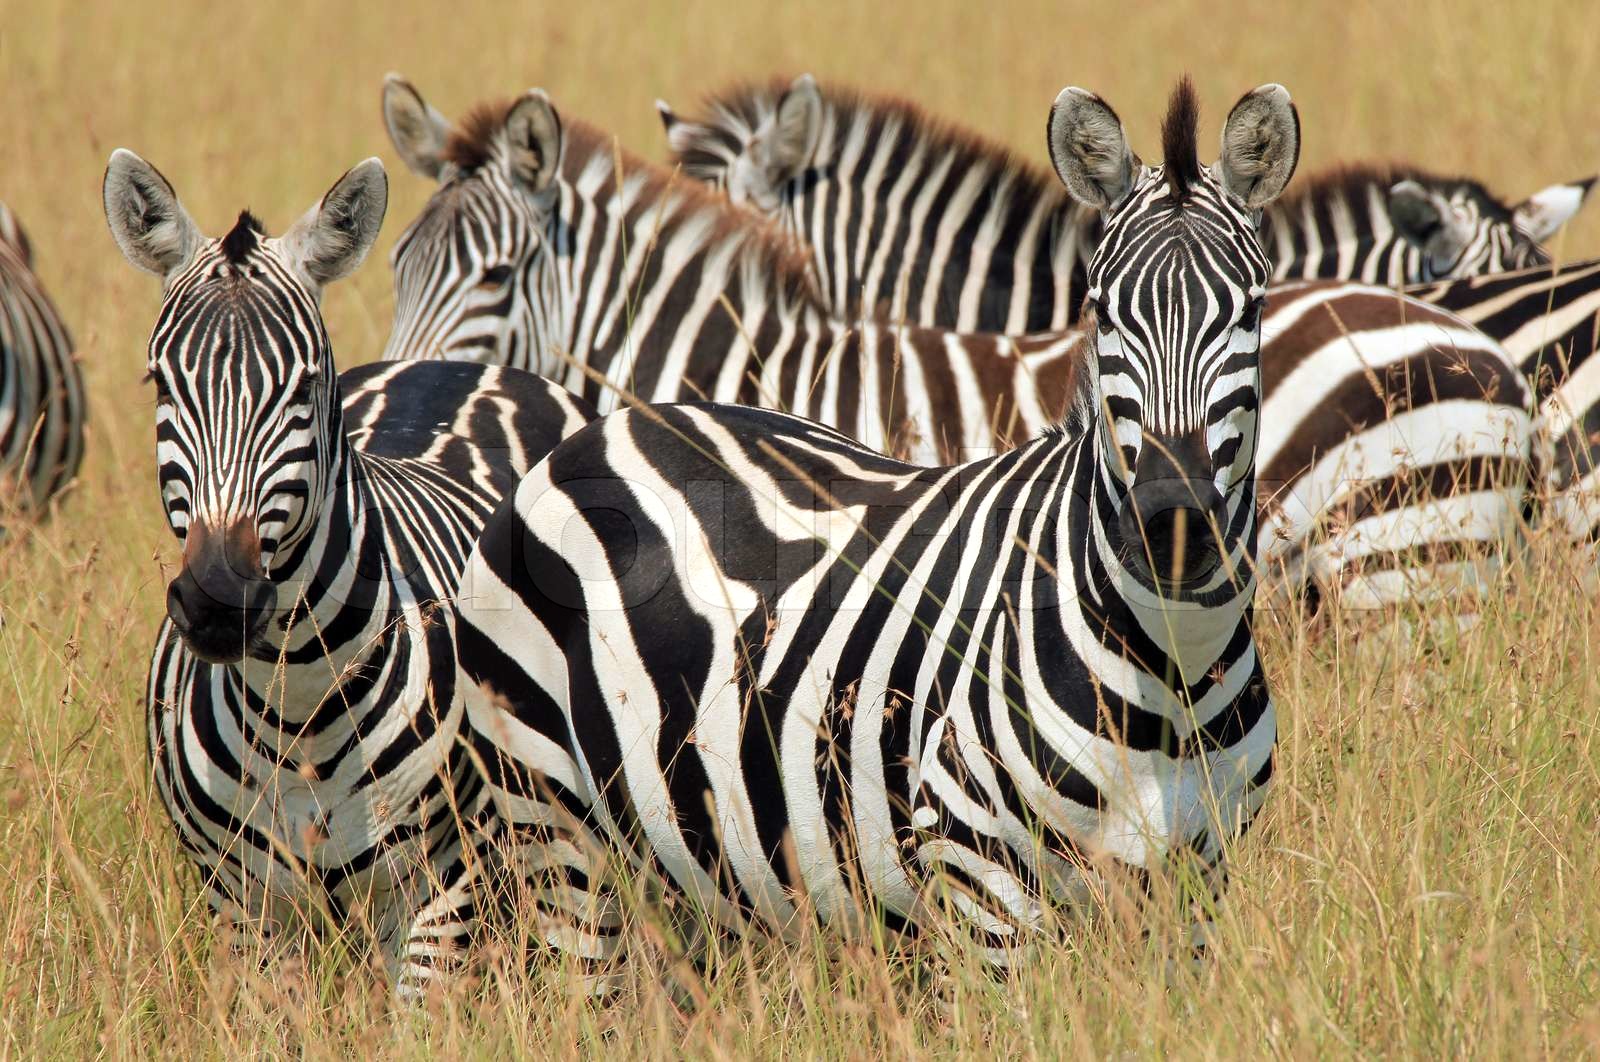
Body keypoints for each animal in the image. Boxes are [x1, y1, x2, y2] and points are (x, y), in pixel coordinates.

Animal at [101, 149, 595, 1000]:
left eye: (302, 386)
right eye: (161, 384)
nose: (217, 600)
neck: (296, 706)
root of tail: (460, 366)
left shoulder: (443, 898)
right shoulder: (245, 909)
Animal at [450, 78, 1296, 970]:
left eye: (1251, 311)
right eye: (1100, 312)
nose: (1173, 524)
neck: (1170, 670)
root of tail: (599, 429)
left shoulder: (1194, 896)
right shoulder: (983, 886)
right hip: (552, 823)